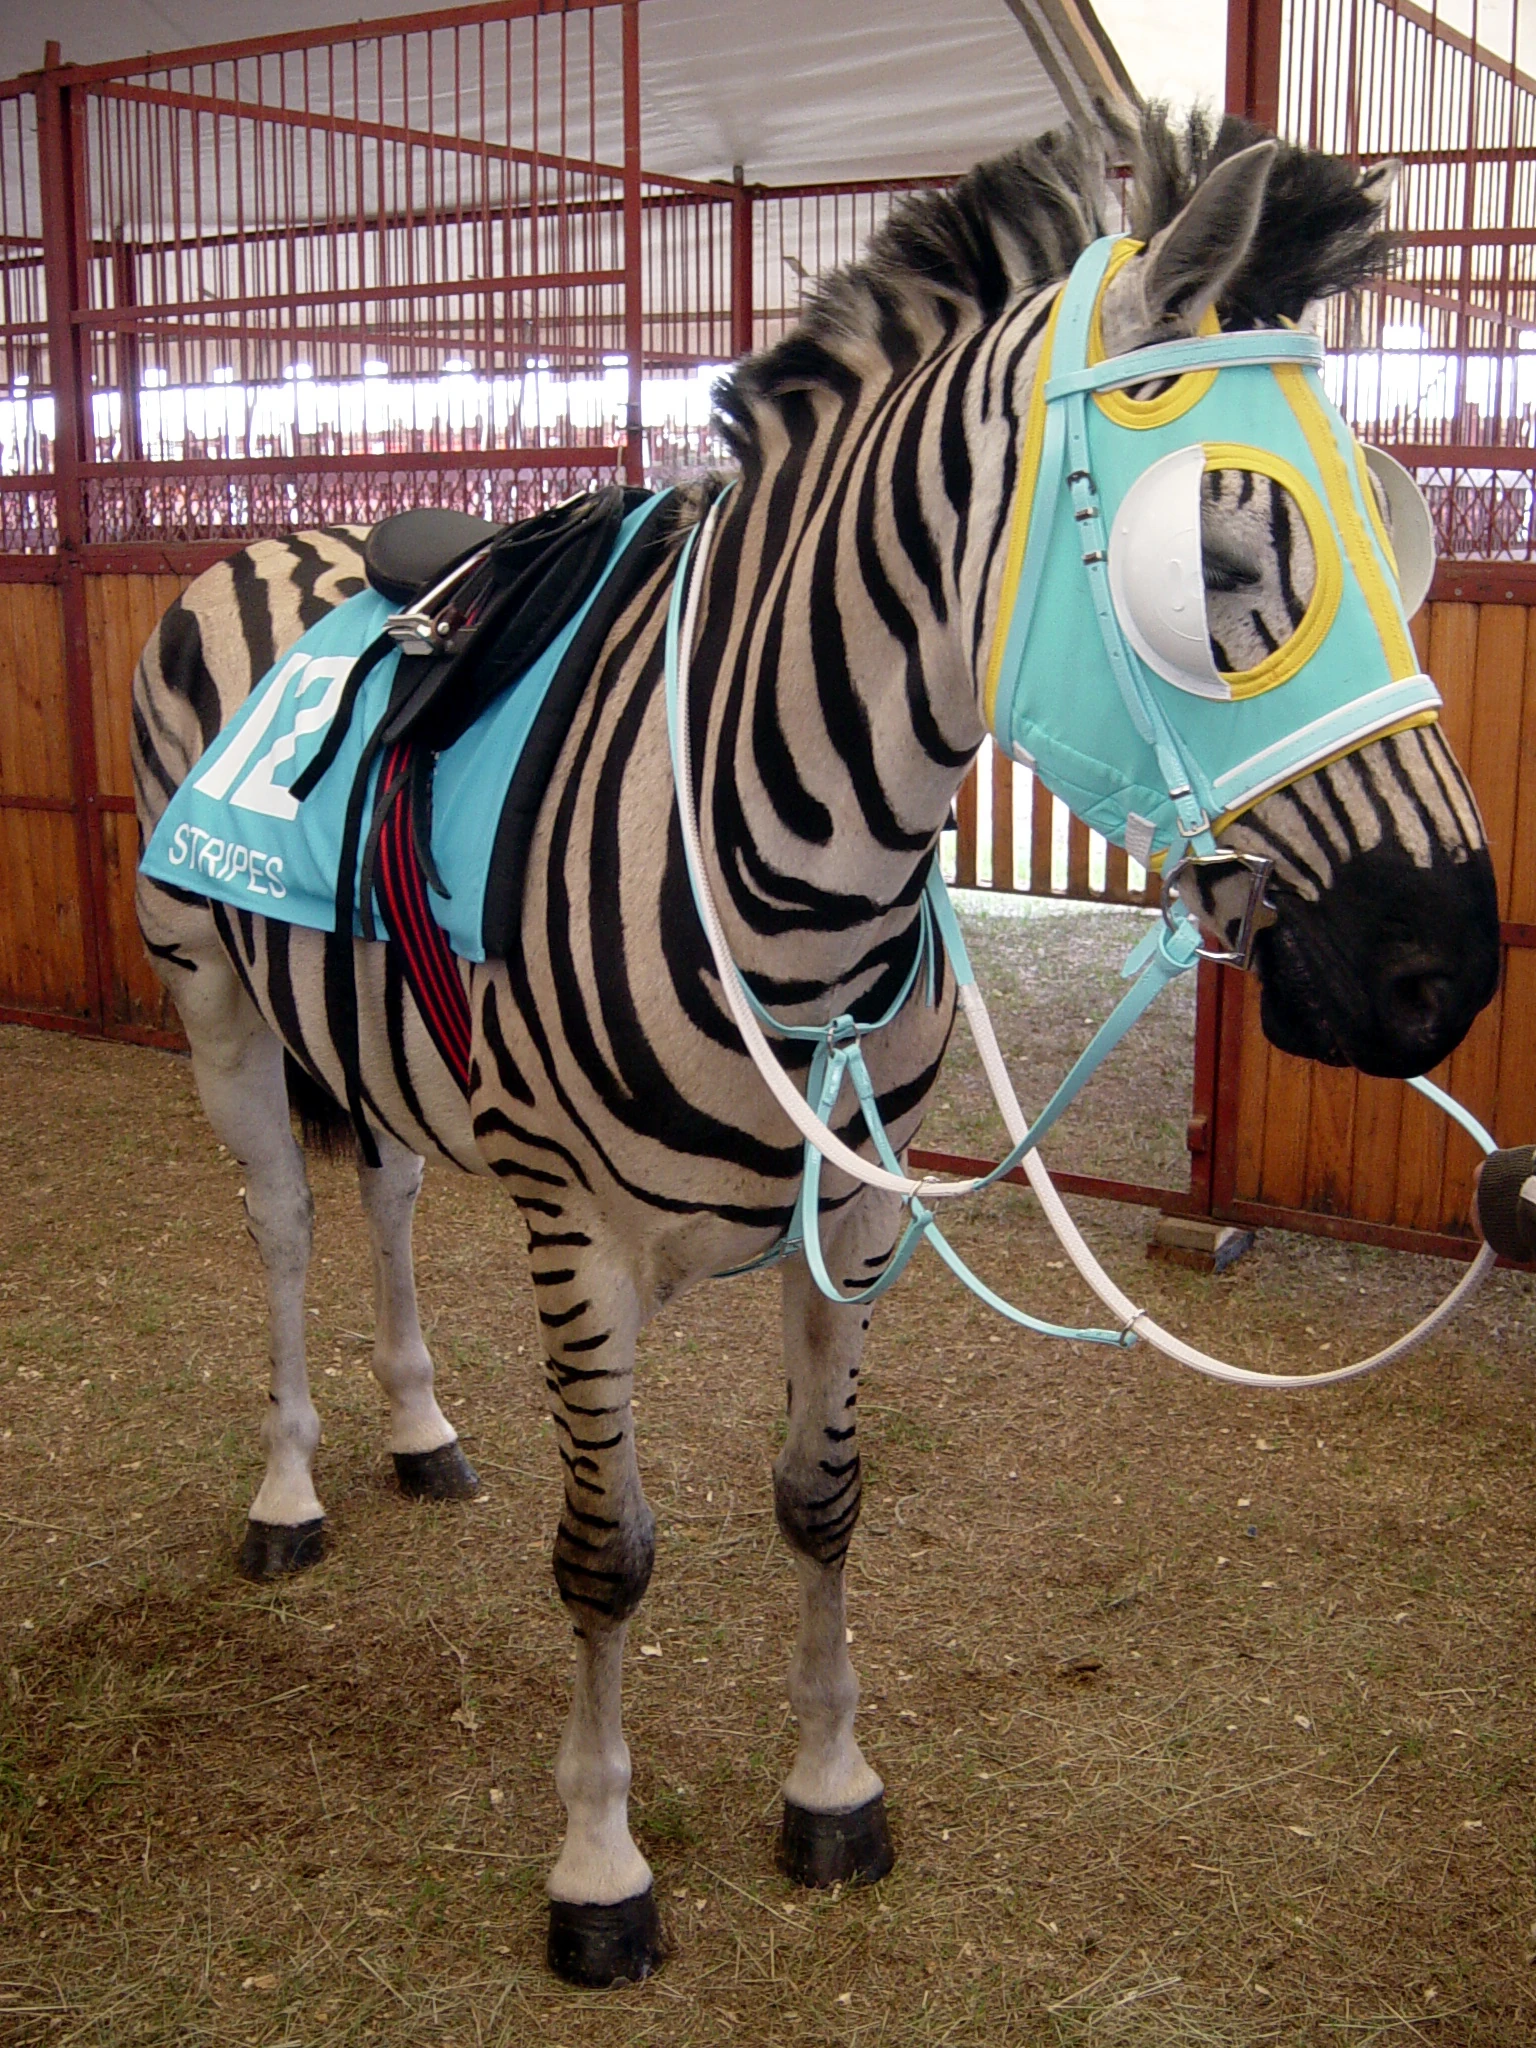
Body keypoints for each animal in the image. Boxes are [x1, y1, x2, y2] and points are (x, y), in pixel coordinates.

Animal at [131, 110, 1500, 1983]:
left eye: (1395, 530)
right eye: (1217, 570)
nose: (1452, 972)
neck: (786, 865)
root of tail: (292, 537)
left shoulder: (856, 1213)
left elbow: (822, 1501)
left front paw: (833, 1788)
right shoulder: (575, 1234)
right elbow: (610, 1555)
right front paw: (600, 1868)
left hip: (384, 1038)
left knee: (390, 1200)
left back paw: (417, 1433)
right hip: (214, 996)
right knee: (277, 1224)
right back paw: (288, 1493)